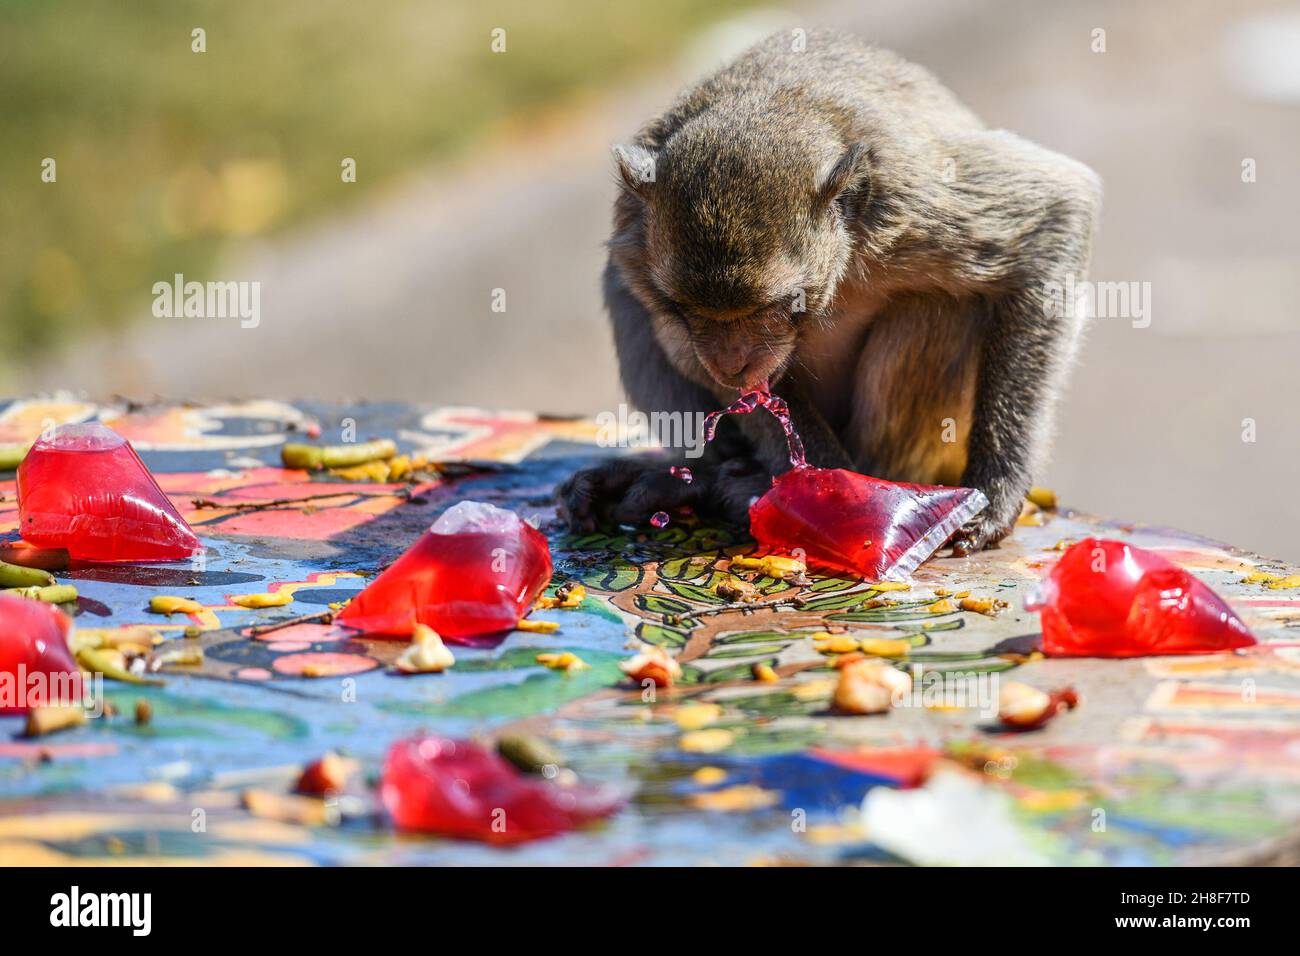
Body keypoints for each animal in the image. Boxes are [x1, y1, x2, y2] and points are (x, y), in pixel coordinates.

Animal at [558, 29, 1100, 555]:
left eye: (776, 306)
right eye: (681, 307)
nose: (731, 362)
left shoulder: (910, 199)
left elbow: (1055, 218)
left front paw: (994, 491)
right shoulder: (636, 237)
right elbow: (681, 343)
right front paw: (825, 494)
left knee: (938, 307)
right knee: (623, 293)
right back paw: (705, 481)